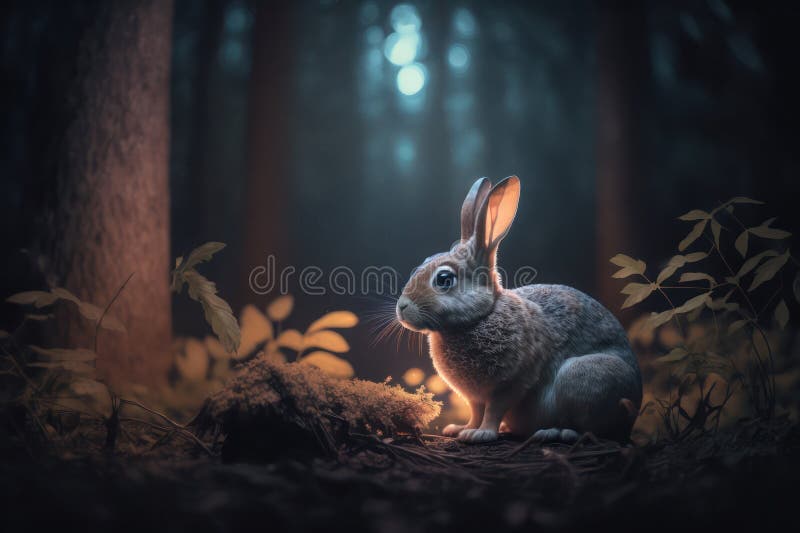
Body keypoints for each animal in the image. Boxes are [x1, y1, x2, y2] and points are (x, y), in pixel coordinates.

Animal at [395, 176, 642, 444]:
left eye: (443, 279)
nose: (402, 307)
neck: (481, 316)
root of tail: (635, 407)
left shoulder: (512, 383)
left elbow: (494, 410)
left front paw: (481, 433)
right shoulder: (474, 396)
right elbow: (476, 410)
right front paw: (461, 429)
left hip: (582, 379)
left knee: (591, 429)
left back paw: (555, 432)